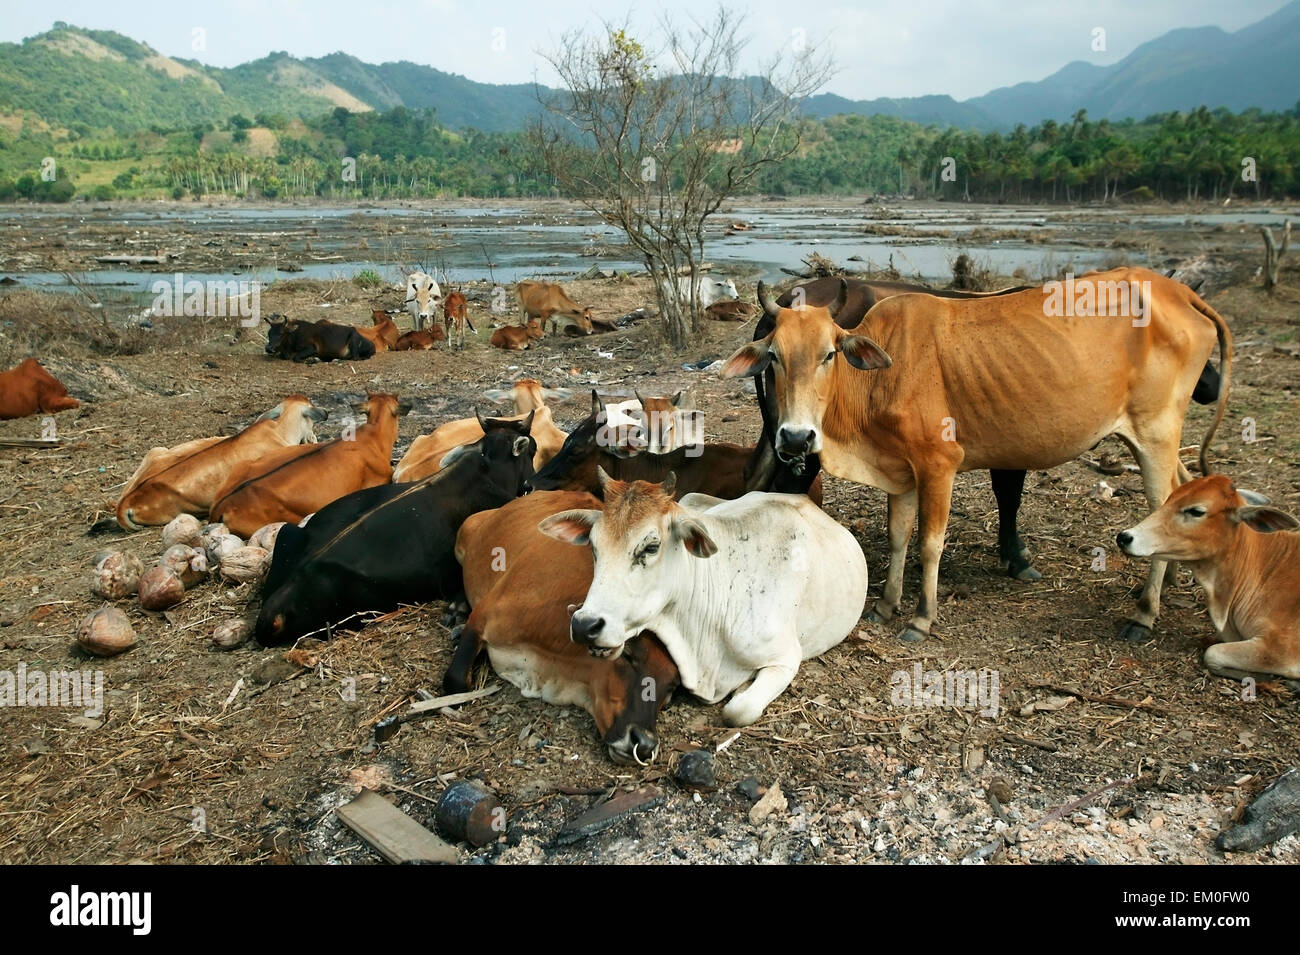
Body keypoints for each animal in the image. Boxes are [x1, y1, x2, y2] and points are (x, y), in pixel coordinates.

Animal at [723, 269, 1232, 644]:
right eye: (774, 356)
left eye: (829, 354)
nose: (796, 436)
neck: (882, 375)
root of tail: (1179, 292)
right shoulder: (901, 470)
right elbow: (898, 536)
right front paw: (885, 606)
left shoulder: (939, 463)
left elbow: (930, 543)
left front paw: (921, 618)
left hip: (1155, 433)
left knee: (1162, 501)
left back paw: (1144, 613)